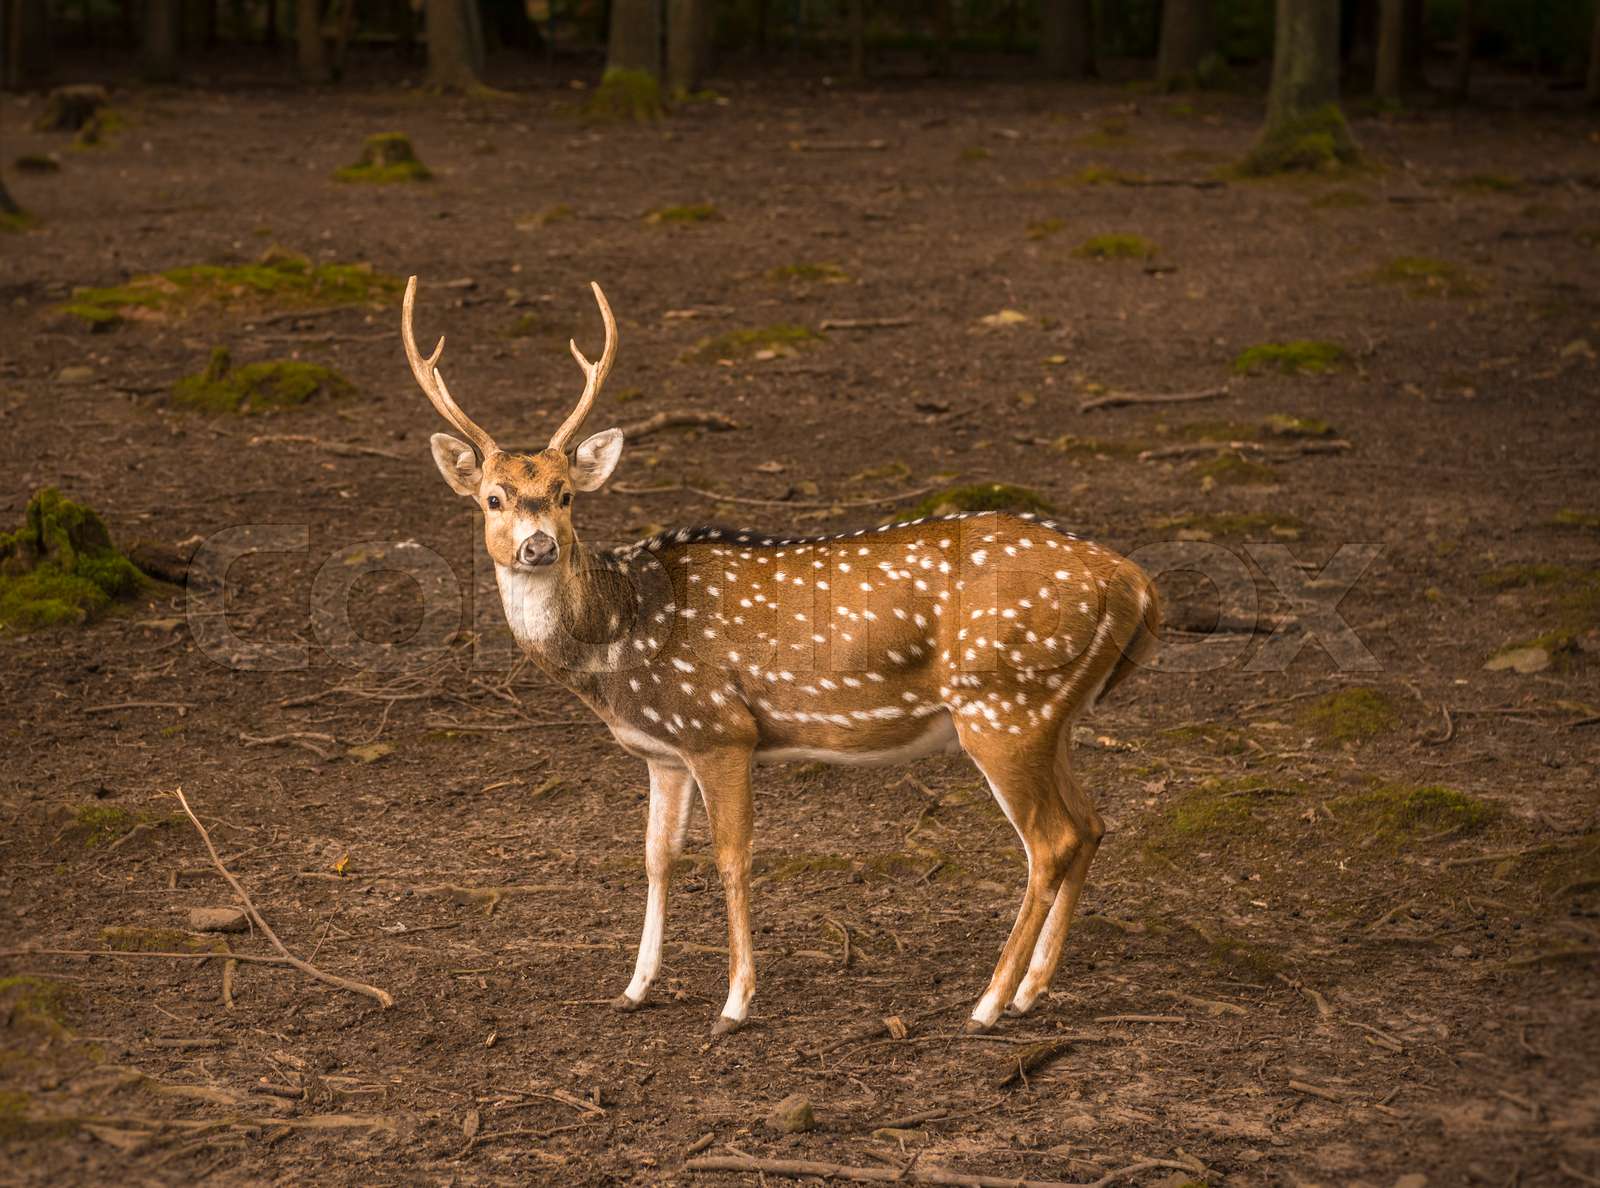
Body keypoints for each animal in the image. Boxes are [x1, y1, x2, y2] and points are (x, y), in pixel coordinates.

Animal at [402, 276, 1161, 1037]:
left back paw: (988, 1004)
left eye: (564, 495)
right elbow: (655, 859)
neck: (619, 644)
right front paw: (635, 987)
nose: (539, 546)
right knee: (1092, 826)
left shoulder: (721, 729)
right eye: (492, 498)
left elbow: (732, 859)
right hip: (1049, 716)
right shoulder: (663, 752)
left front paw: (734, 1004)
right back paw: (1031, 989)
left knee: (1051, 841)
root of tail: (1133, 578)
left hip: (1003, 703)